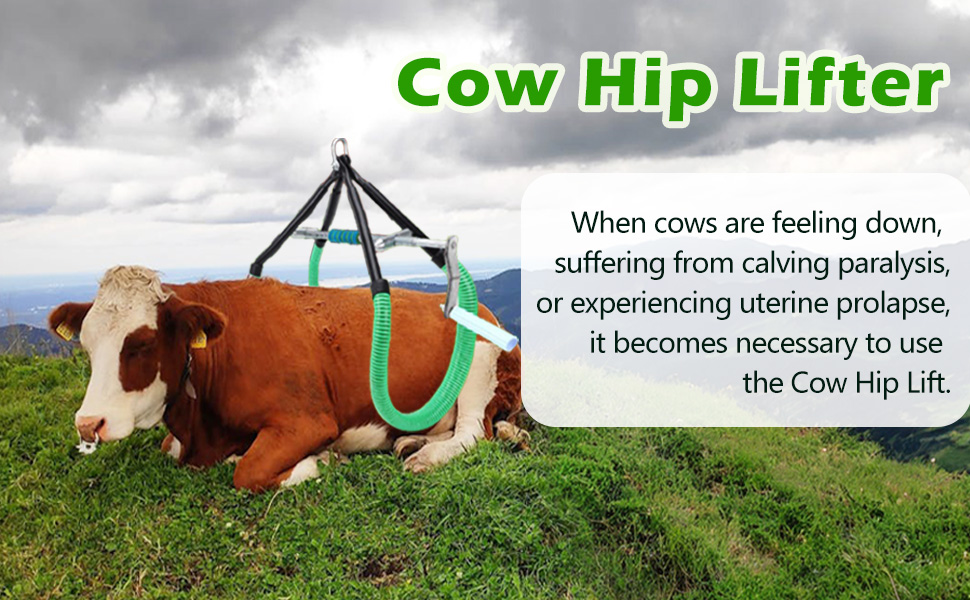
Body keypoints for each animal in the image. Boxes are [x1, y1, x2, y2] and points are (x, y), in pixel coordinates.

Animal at [49, 265, 524, 492]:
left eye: (142, 343)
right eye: (86, 344)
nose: (87, 424)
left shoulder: (309, 420)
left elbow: (249, 472)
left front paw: (322, 460)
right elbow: (174, 450)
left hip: (480, 364)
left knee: (473, 432)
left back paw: (427, 456)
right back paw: (412, 441)